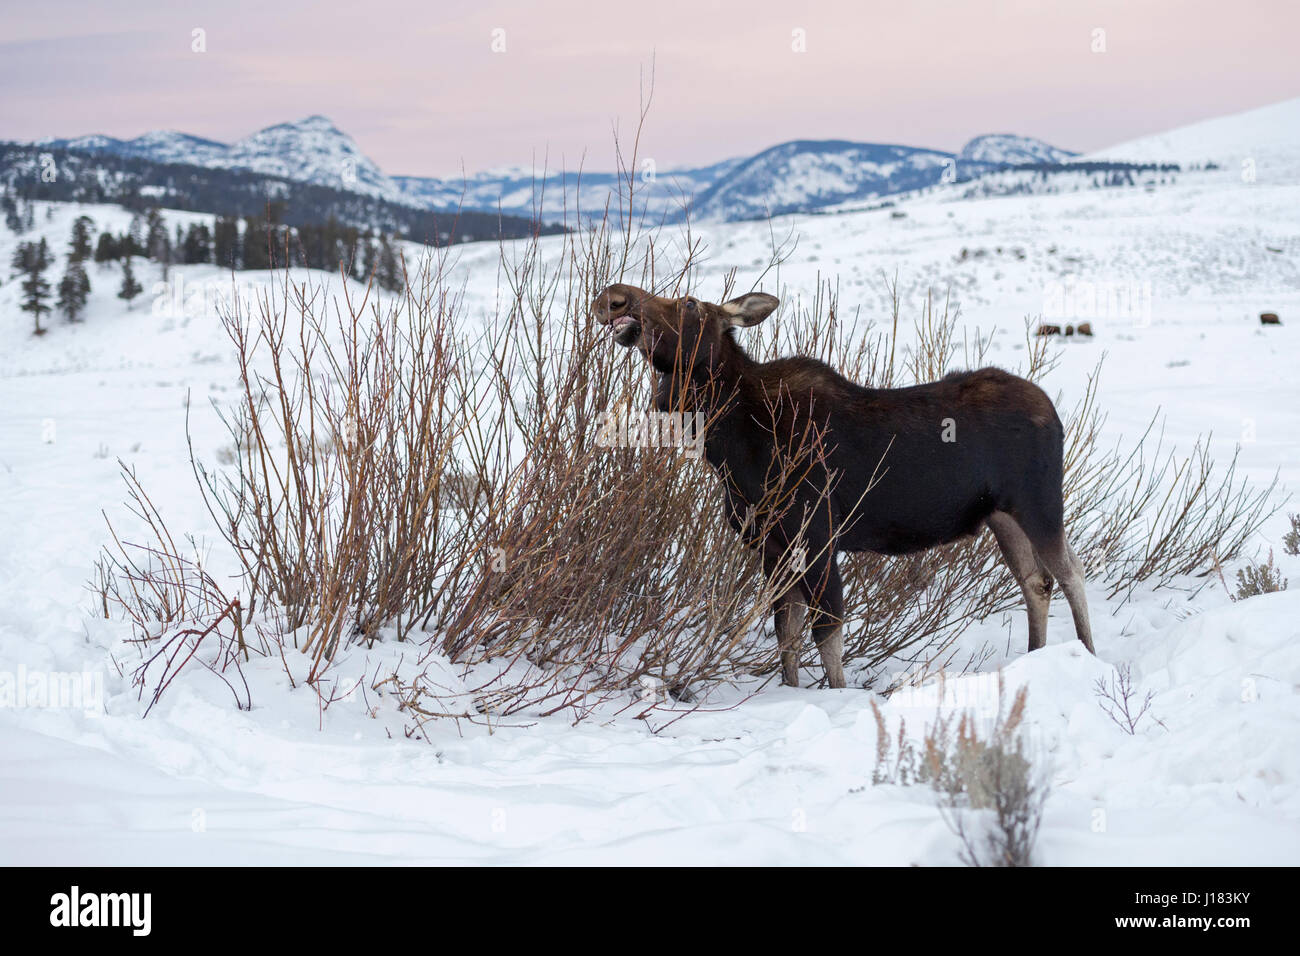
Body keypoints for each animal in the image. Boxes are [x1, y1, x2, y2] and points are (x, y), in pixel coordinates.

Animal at [592, 283, 1095, 689]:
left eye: (691, 303)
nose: (614, 297)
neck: (728, 441)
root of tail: (1053, 412)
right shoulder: (772, 547)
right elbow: (787, 635)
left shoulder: (817, 536)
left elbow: (826, 632)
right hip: (1002, 516)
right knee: (1036, 581)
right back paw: (1035, 656)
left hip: (1039, 503)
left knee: (1071, 572)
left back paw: (1088, 654)